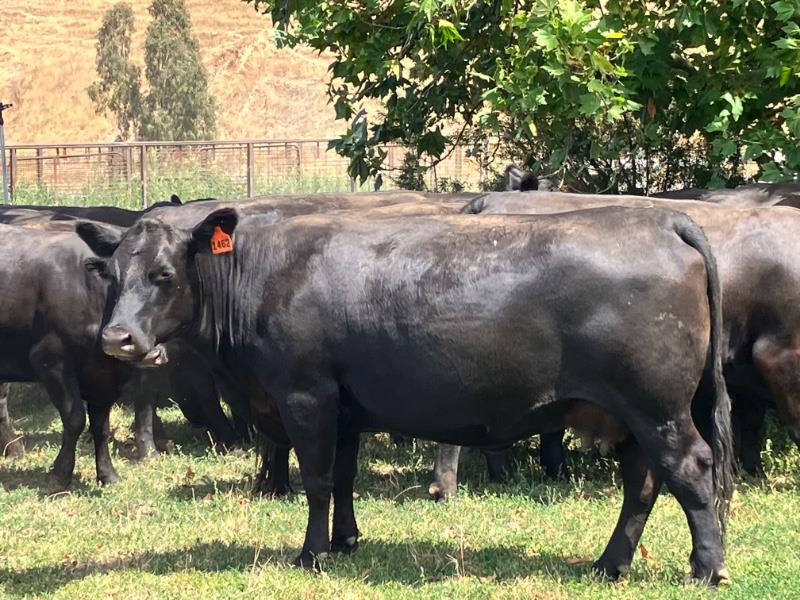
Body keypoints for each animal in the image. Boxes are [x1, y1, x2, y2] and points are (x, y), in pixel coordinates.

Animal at [78, 206, 734, 584]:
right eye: (110, 273)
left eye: (164, 275)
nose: (116, 338)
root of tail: (662, 221)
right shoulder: (344, 406)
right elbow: (343, 476)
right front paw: (346, 541)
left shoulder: (305, 395)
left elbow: (317, 479)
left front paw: (311, 554)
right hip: (625, 413)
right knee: (642, 481)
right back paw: (608, 564)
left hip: (655, 406)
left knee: (690, 469)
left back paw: (706, 569)